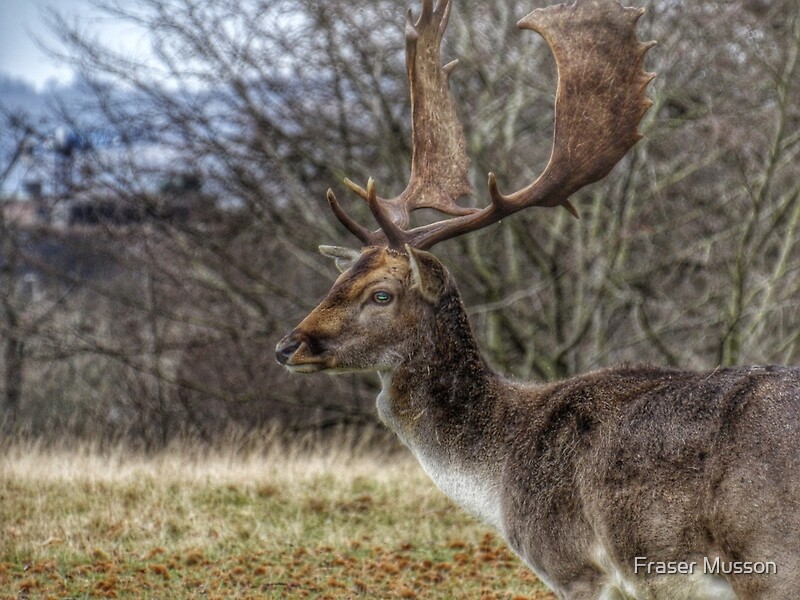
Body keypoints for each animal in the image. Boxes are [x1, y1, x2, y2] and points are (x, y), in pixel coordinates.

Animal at [275, 0, 800, 598]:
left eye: (381, 294)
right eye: (338, 278)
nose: (288, 346)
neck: (499, 475)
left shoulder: (574, 565)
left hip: (769, 555)